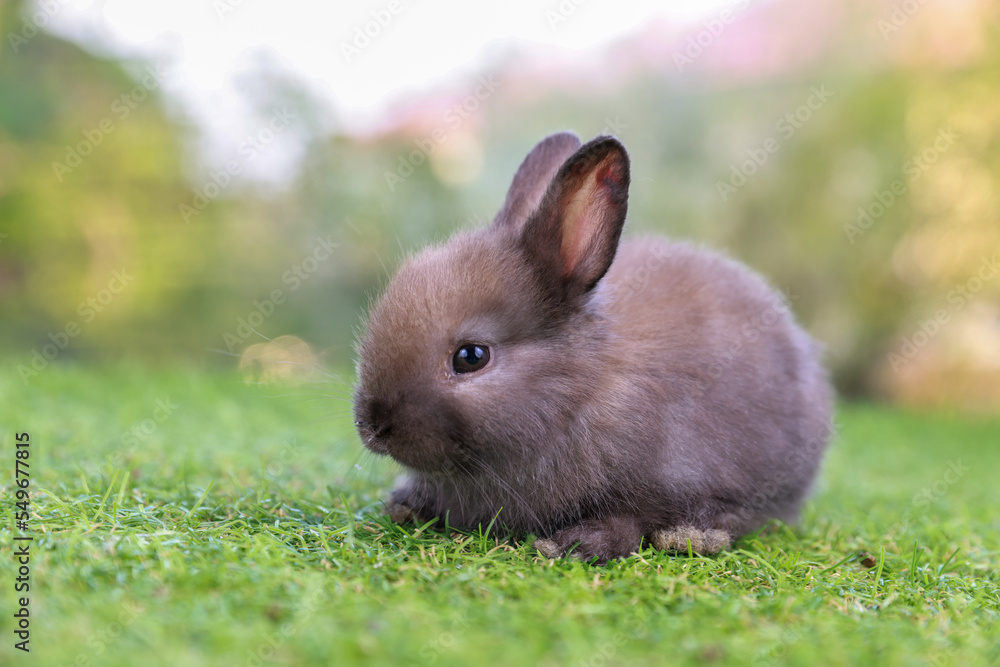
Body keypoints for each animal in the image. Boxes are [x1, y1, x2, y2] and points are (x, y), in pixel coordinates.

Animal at [353, 131, 833, 563]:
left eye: (471, 357)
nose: (373, 426)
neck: (575, 395)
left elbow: (631, 521)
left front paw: (574, 545)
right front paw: (405, 505)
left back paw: (694, 536)